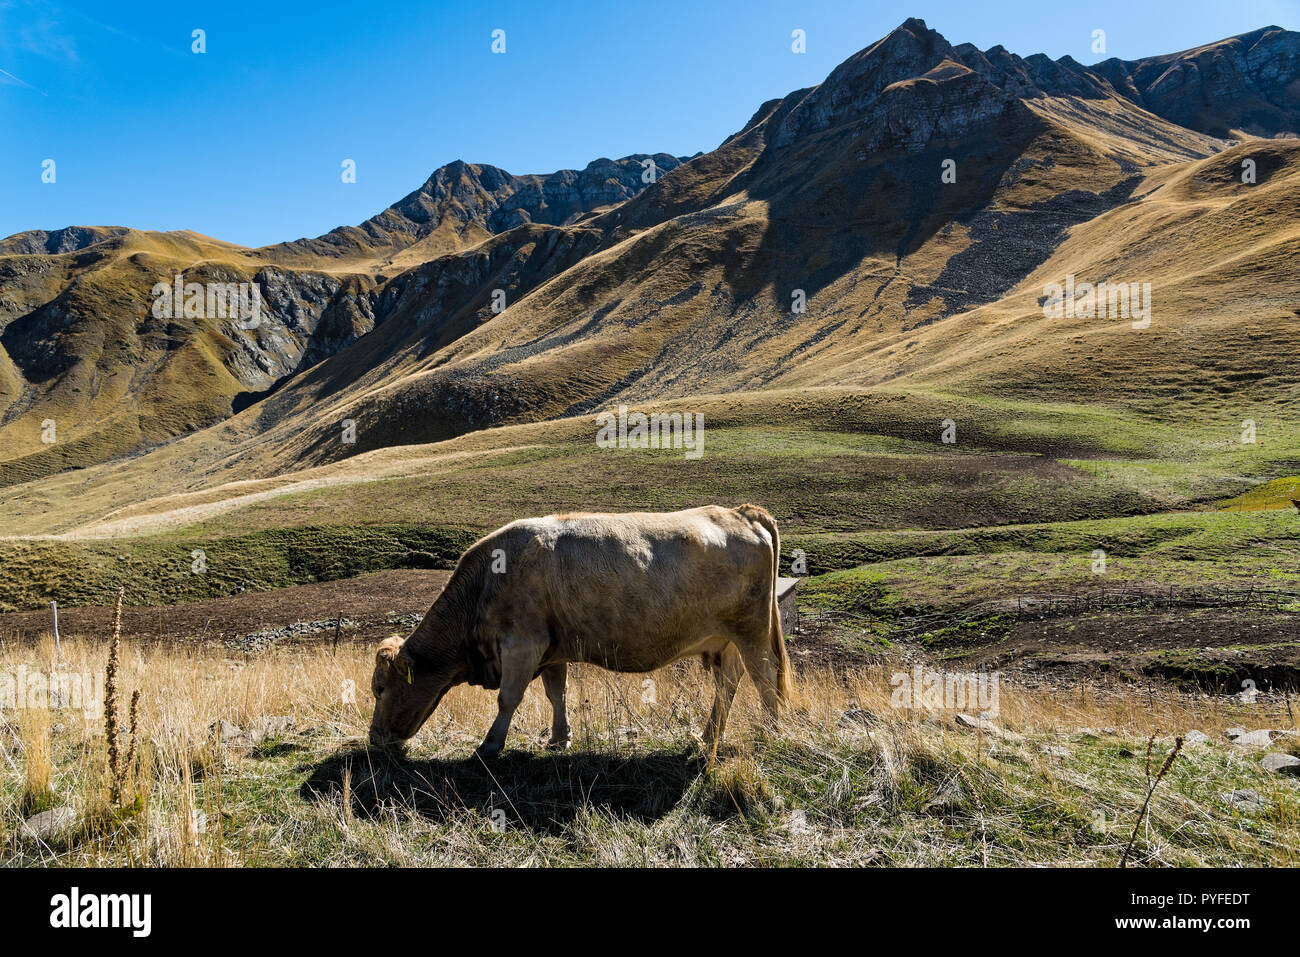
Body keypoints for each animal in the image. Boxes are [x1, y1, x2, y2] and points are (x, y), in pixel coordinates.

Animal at [368, 504, 792, 759]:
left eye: (380, 688)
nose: (374, 740)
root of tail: (741, 513)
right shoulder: (551, 649)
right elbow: (556, 693)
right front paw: (559, 738)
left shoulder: (523, 643)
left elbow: (508, 698)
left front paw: (490, 745)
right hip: (726, 640)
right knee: (729, 683)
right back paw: (707, 737)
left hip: (752, 631)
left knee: (764, 677)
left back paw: (770, 733)